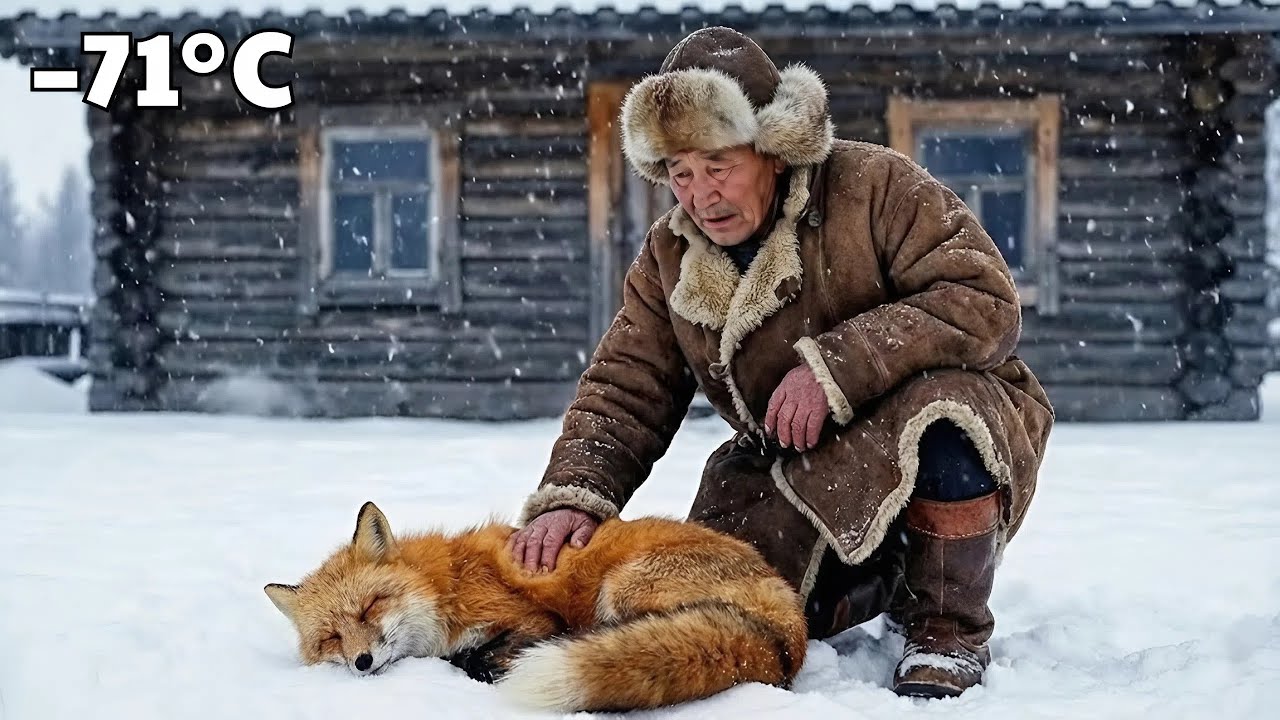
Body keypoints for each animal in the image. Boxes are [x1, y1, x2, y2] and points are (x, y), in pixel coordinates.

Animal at [263, 501, 809, 712]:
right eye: (331, 638)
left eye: (370, 607)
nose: (362, 661)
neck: (445, 584)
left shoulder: (530, 617)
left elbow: (483, 655)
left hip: (622, 586)